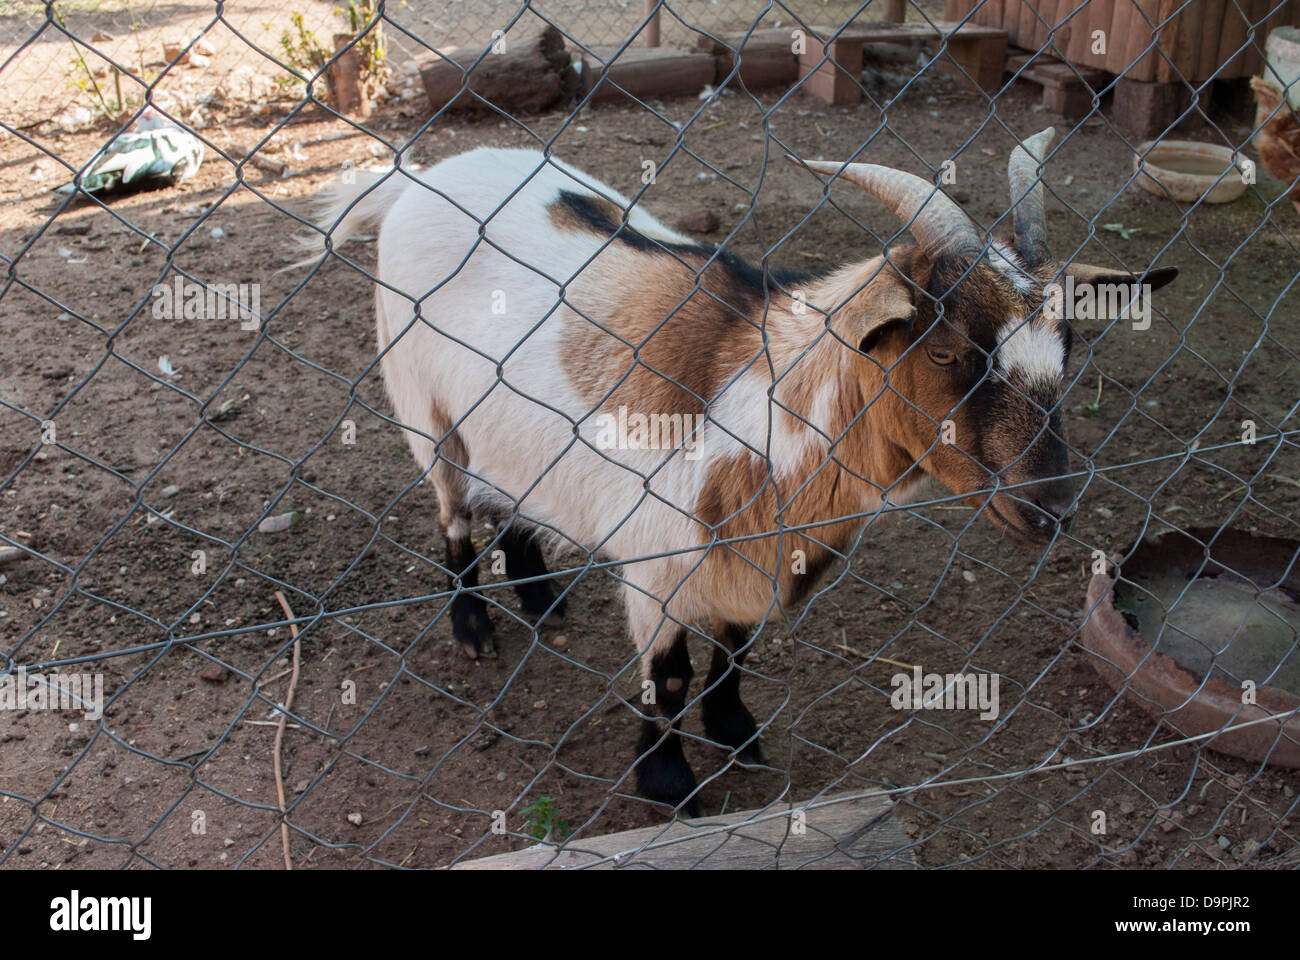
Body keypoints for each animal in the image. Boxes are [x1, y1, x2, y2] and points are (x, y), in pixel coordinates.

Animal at [301, 129, 1178, 816]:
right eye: (946, 351)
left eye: (1069, 344)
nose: (1051, 509)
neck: (769, 404)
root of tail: (416, 180)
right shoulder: (658, 564)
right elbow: (672, 674)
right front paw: (668, 782)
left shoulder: (758, 554)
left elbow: (735, 650)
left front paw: (737, 735)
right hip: (426, 410)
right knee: (452, 510)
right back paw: (473, 627)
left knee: (509, 497)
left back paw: (542, 597)